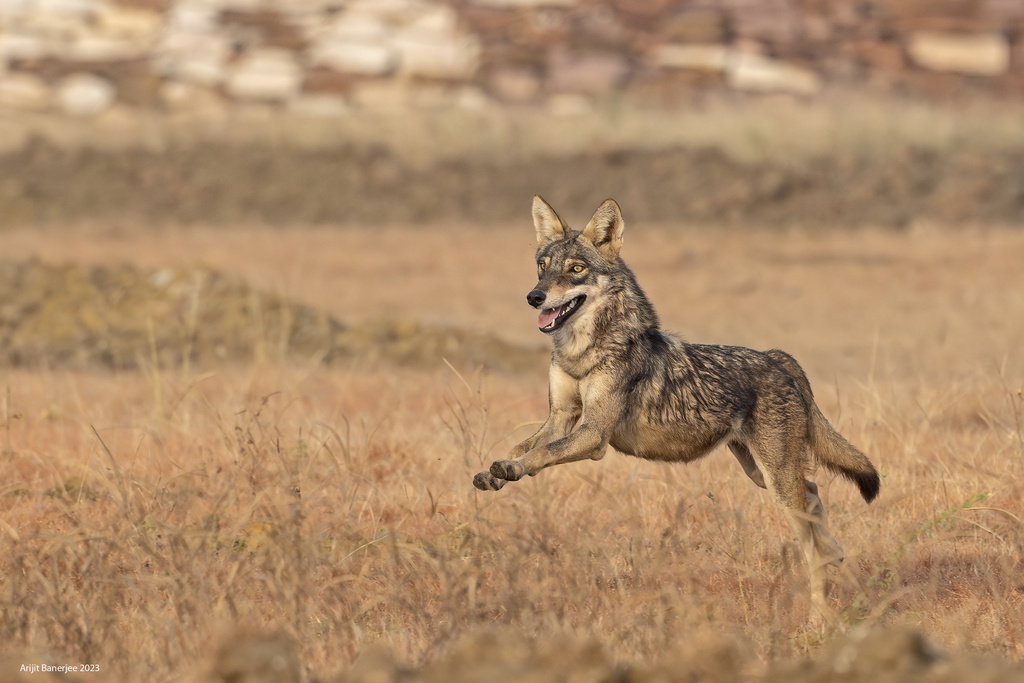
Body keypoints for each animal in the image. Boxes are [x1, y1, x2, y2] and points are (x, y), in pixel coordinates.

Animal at [473, 196, 880, 618]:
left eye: (576, 269)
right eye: (543, 266)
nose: (534, 297)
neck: (580, 351)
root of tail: (778, 358)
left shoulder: (594, 433)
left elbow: (543, 453)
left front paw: (512, 469)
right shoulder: (561, 417)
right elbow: (524, 446)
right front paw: (496, 472)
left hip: (777, 482)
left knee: (810, 545)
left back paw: (819, 615)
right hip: (761, 473)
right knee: (815, 493)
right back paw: (836, 553)